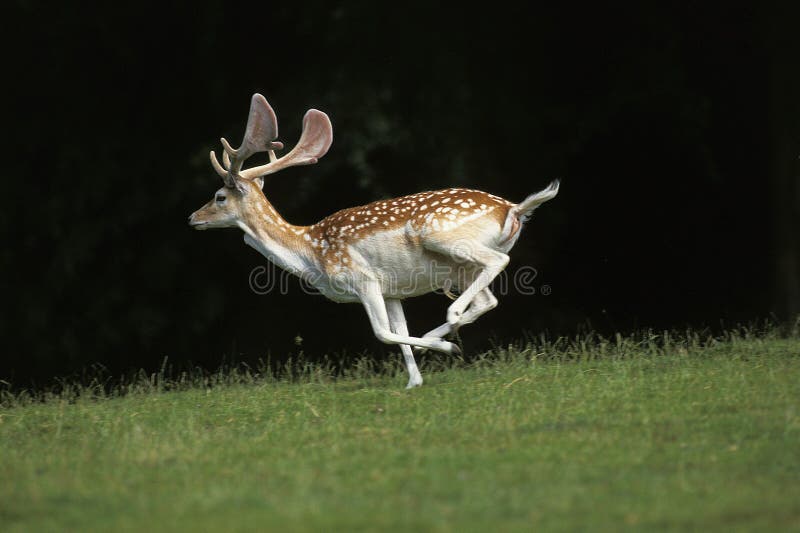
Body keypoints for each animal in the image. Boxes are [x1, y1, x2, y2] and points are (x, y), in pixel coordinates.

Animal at [189, 94, 559, 389]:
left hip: (443, 236)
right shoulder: (391, 290)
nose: (192, 217)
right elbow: (399, 332)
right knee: (488, 299)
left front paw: (446, 350)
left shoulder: (362, 279)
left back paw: (450, 321)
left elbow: (381, 333)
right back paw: (441, 332)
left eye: (219, 196)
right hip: (459, 269)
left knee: (498, 263)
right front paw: (414, 381)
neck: (310, 252)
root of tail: (512, 209)